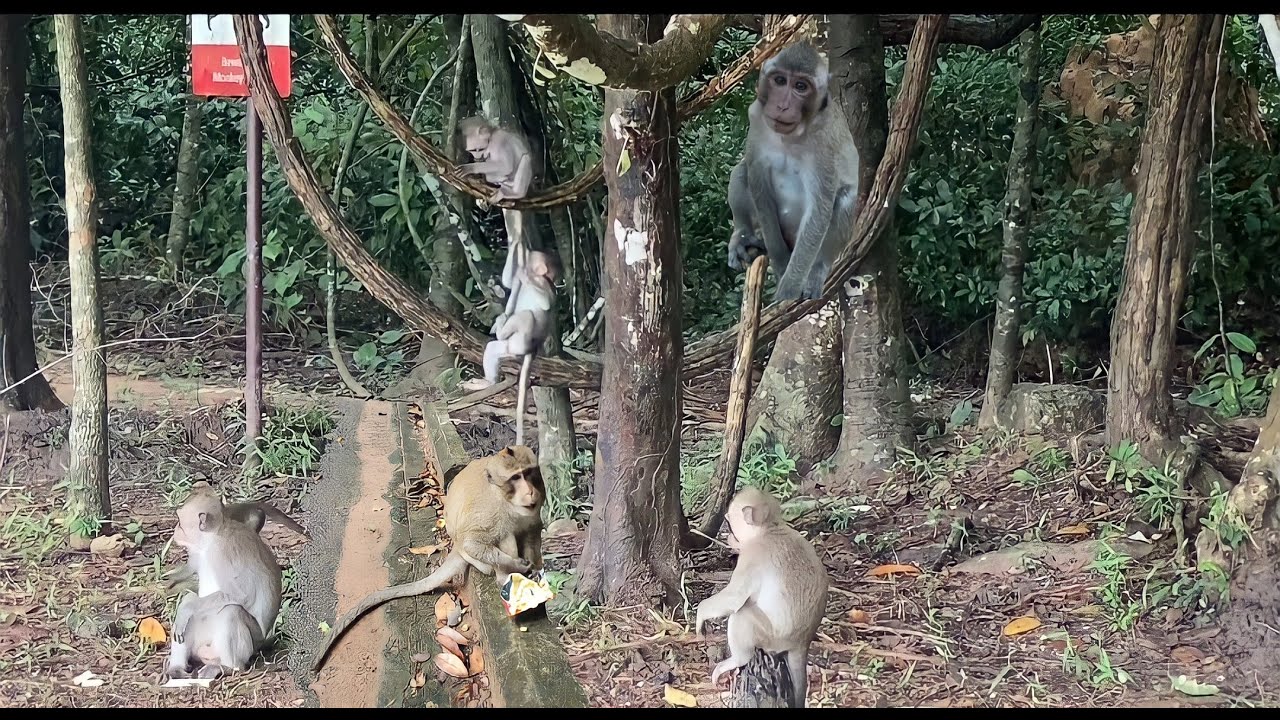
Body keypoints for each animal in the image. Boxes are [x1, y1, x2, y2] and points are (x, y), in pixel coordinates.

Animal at [164, 489, 283, 681]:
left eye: (180, 524)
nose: (175, 531)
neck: (211, 539)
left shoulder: (226, 552)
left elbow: (243, 595)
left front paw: (186, 607)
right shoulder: (198, 551)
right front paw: (173, 578)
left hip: (252, 642)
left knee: (231, 610)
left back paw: (228, 667)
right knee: (192, 602)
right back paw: (177, 668)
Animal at [311, 445, 545, 673]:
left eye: (528, 473)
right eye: (515, 478)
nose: (530, 491)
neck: (505, 500)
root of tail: (454, 549)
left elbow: (533, 529)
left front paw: (534, 571)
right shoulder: (490, 512)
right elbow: (473, 542)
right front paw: (518, 566)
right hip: (477, 557)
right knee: (498, 537)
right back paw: (505, 577)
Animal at [694, 486, 829, 708]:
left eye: (729, 523)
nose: (728, 536)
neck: (770, 529)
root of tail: (803, 641)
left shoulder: (752, 556)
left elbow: (734, 598)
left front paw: (700, 614)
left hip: (772, 637)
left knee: (742, 615)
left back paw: (737, 660)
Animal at [726, 41, 861, 302]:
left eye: (800, 86)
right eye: (780, 80)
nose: (782, 105)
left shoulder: (824, 143)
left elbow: (819, 209)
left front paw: (788, 289)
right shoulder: (757, 117)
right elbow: (757, 181)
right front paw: (780, 266)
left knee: (844, 198)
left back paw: (818, 270)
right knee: (742, 170)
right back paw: (743, 235)